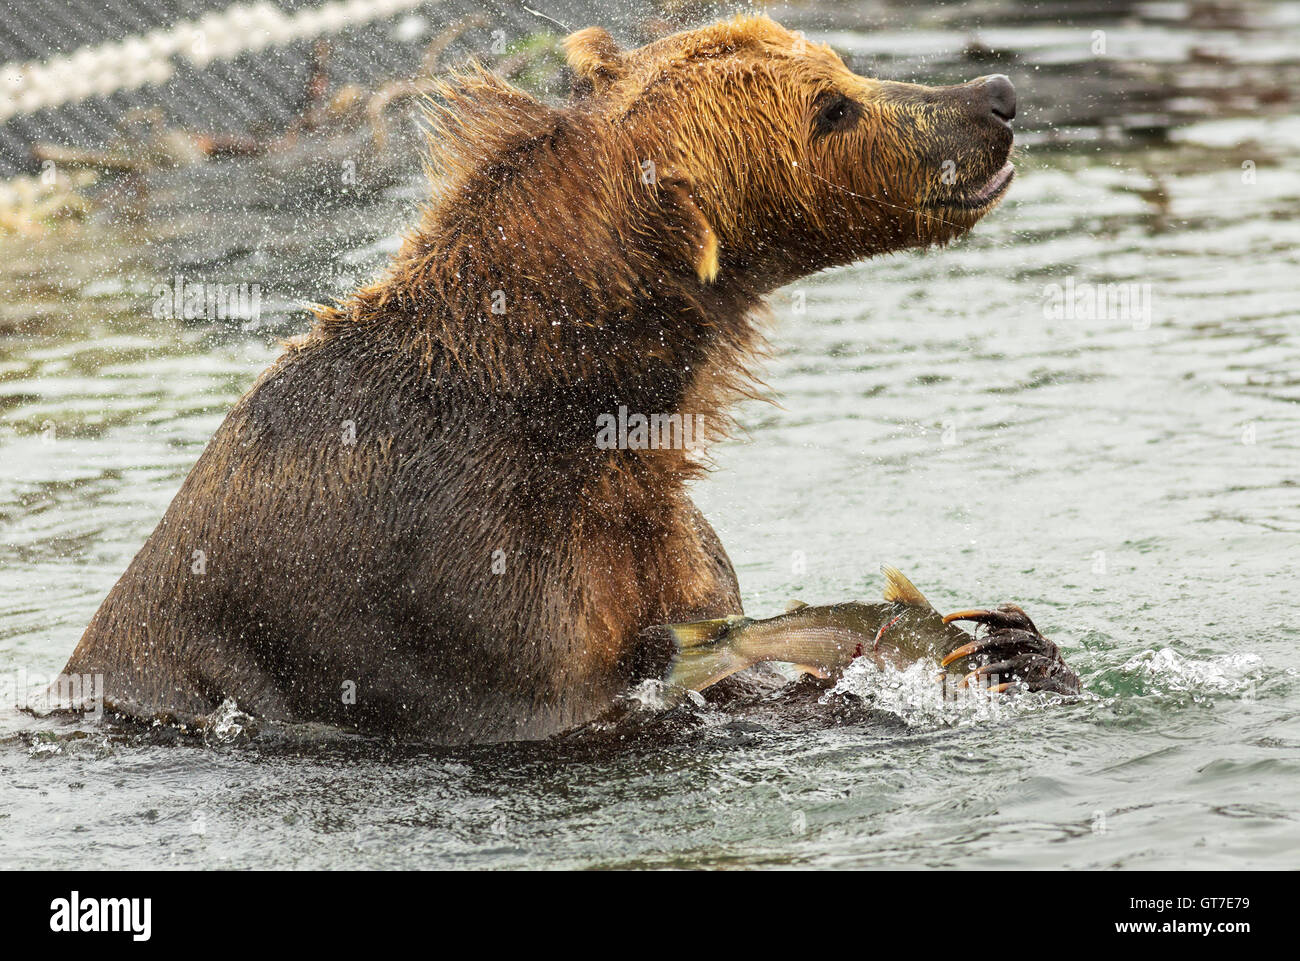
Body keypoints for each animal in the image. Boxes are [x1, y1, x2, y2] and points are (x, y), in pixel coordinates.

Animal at [62, 15, 1017, 743]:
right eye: (831, 108)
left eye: (833, 61)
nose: (994, 98)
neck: (579, 405)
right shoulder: (454, 594)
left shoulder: (659, 547)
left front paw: (1013, 643)